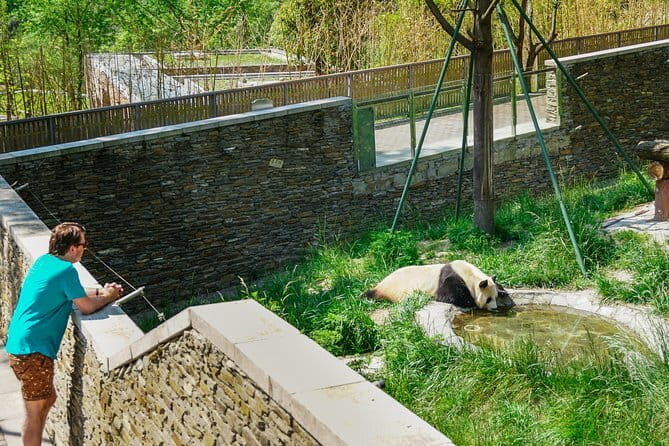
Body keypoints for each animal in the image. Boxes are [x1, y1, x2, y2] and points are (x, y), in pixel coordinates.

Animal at [365, 260, 499, 310]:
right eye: (488, 299)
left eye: (495, 297)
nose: (495, 308)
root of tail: (380, 285)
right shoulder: (451, 278)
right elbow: (448, 296)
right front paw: (471, 302)